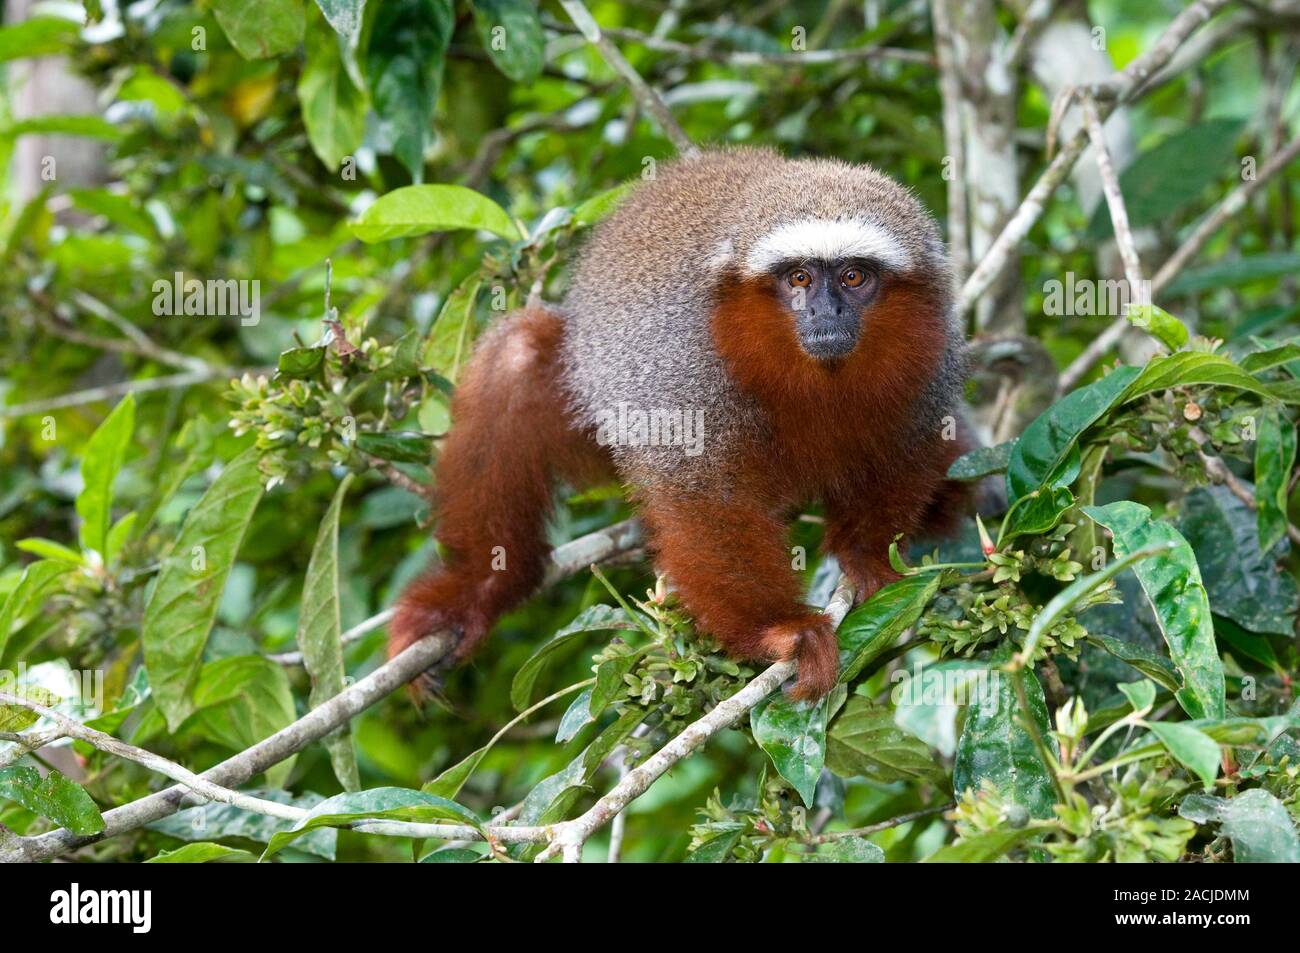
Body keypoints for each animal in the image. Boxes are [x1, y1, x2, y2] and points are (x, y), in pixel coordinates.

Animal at [389, 146, 971, 701]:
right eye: (799, 278)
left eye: (853, 277)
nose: (825, 314)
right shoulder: (687, 360)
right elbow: (704, 497)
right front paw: (782, 630)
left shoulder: (935, 350)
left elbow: (913, 448)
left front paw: (867, 556)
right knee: (515, 358)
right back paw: (478, 591)